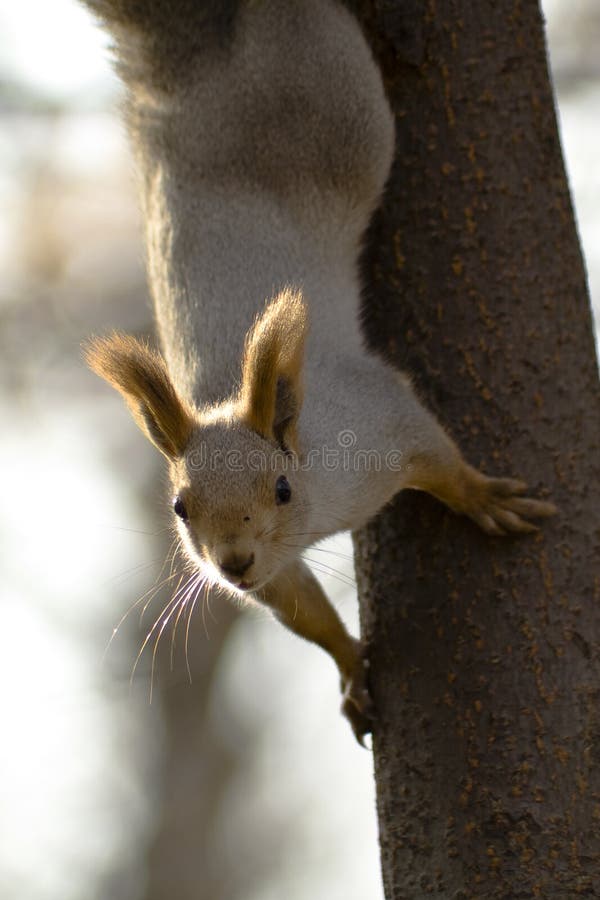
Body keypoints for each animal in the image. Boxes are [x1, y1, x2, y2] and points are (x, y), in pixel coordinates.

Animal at [83, 0, 555, 742]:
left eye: (280, 489)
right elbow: (304, 612)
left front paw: (483, 498)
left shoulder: (379, 424)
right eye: (180, 508)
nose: (232, 564)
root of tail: (196, 58)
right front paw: (351, 667)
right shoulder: (274, 574)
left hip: (331, 90)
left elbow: (440, 460)